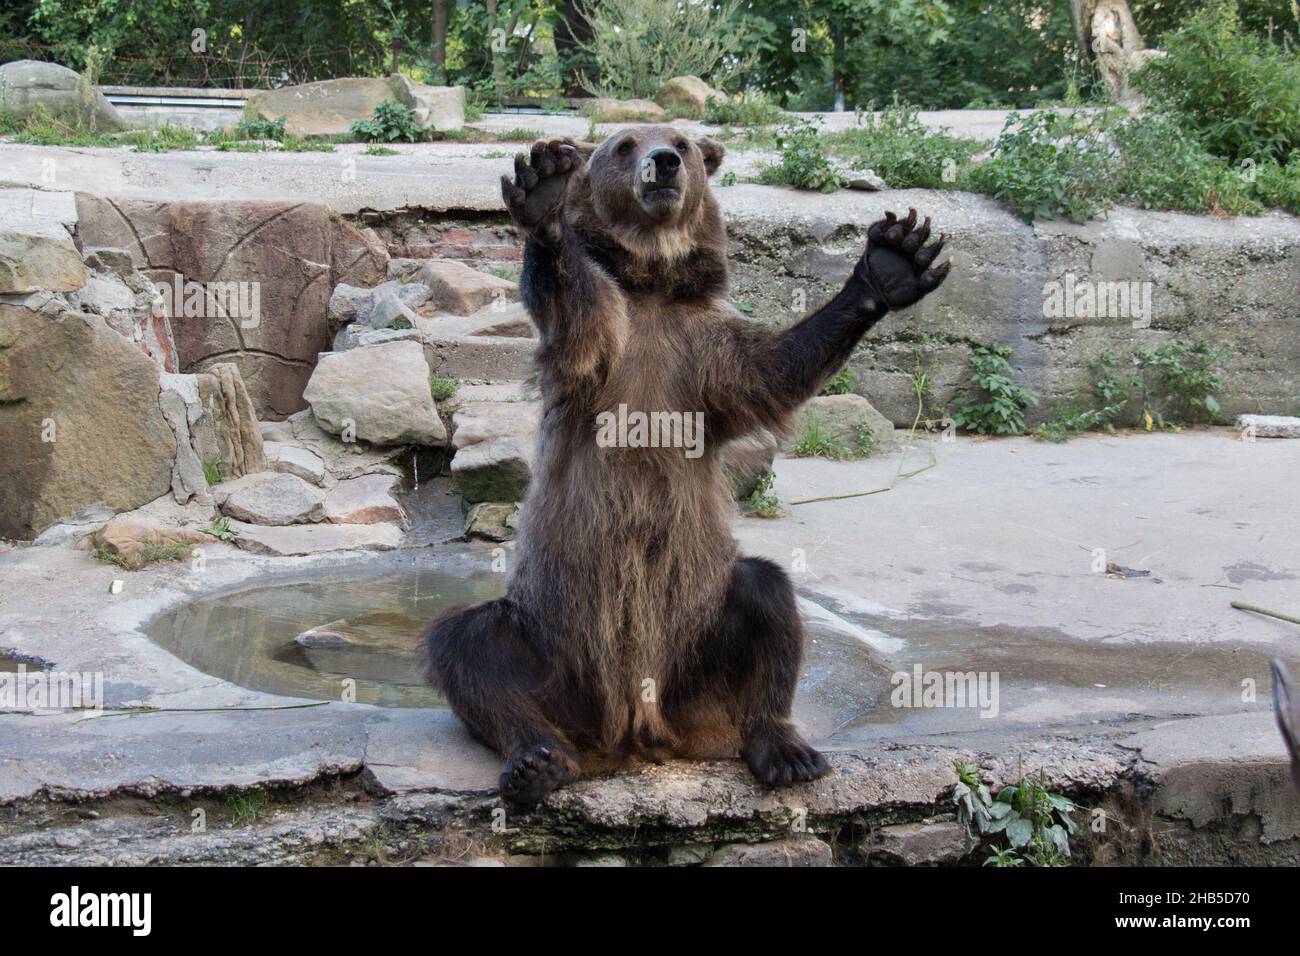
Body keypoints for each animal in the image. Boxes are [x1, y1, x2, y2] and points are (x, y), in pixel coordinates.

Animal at [423, 128, 949, 806]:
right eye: (625, 144)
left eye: (682, 143)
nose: (665, 163)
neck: (650, 285)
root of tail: (636, 730)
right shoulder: (606, 349)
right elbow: (574, 315)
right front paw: (544, 194)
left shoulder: (701, 356)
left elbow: (772, 369)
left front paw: (891, 263)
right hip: (555, 644)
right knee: (472, 645)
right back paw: (537, 759)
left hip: (696, 641)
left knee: (764, 596)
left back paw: (783, 749)